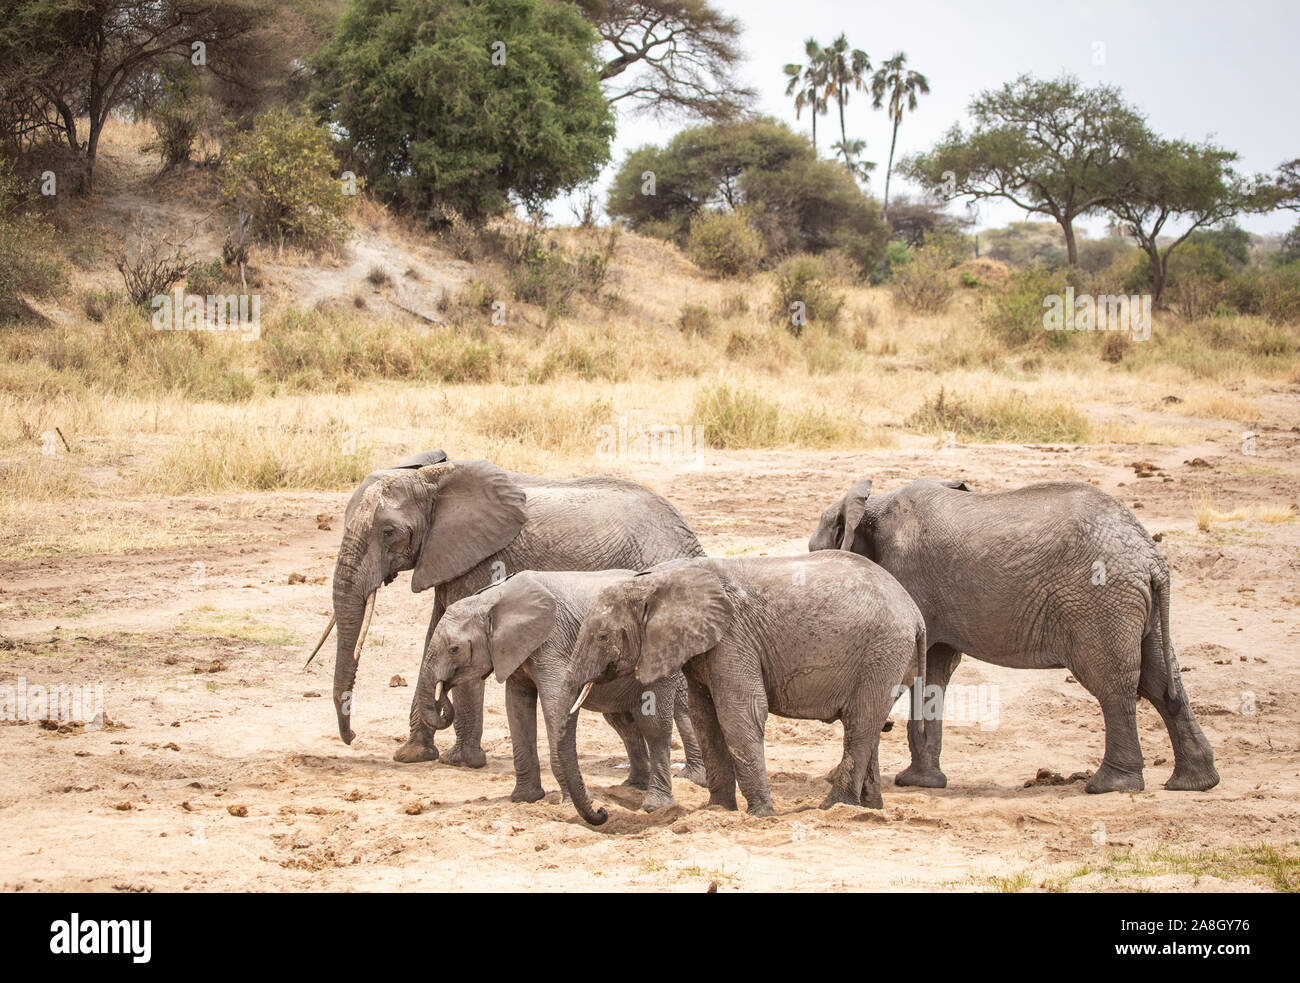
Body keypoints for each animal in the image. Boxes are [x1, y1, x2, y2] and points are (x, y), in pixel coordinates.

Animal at [308, 451, 705, 766]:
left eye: (388, 532)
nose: (351, 737)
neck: (431, 479)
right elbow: (436, 634)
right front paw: (413, 755)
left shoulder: (483, 558)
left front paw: (460, 762)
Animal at [415, 569, 707, 812]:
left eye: (454, 649)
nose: (601, 811)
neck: (492, 598)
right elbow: (517, 710)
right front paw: (524, 800)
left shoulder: (552, 644)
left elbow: (555, 707)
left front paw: (566, 804)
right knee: (623, 723)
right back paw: (633, 786)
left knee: (657, 724)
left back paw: (667, 798)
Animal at [562, 552, 928, 824]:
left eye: (603, 636)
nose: (602, 811)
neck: (658, 579)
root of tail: (915, 613)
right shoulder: (705, 648)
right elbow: (705, 718)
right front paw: (717, 812)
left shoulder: (733, 637)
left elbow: (740, 714)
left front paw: (760, 816)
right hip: (887, 658)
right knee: (871, 724)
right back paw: (869, 810)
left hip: (883, 650)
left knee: (860, 723)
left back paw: (833, 808)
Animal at [809, 477, 1220, 795]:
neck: (872, 503)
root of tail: (1152, 557)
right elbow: (935, 673)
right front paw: (920, 783)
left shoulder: (908, 577)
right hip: (1136, 607)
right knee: (1161, 679)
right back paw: (1193, 783)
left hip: (1102, 603)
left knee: (1113, 682)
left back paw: (1109, 786)